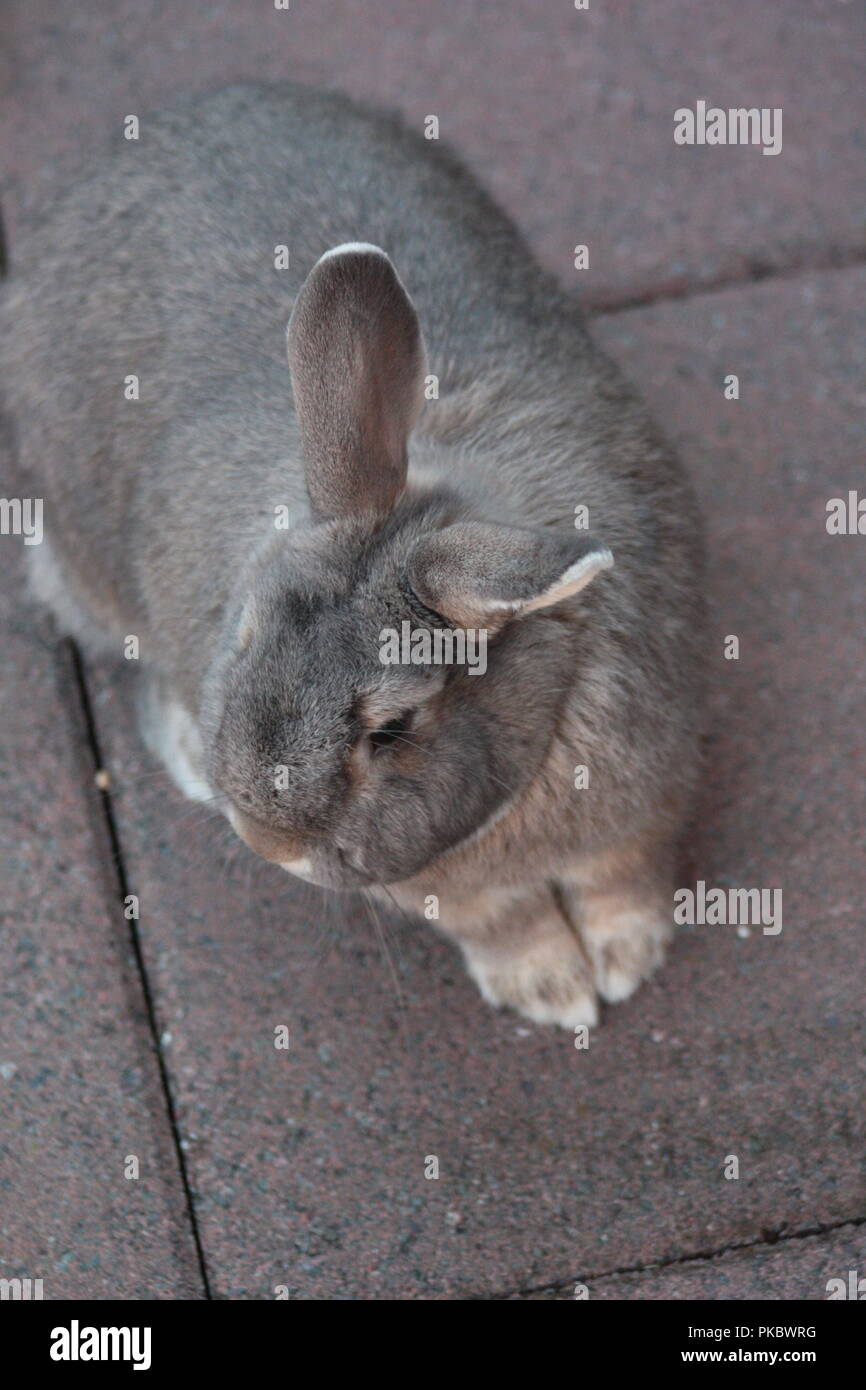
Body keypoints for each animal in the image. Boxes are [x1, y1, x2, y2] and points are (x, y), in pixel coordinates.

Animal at [1, 82, 705, 1029]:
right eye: (244, 638)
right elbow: (506, 921)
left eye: (392, 727)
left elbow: (622, 878)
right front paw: (553, 990)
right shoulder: (457, 894)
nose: (267, 839)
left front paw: (628, 961)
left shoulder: (648, 806)